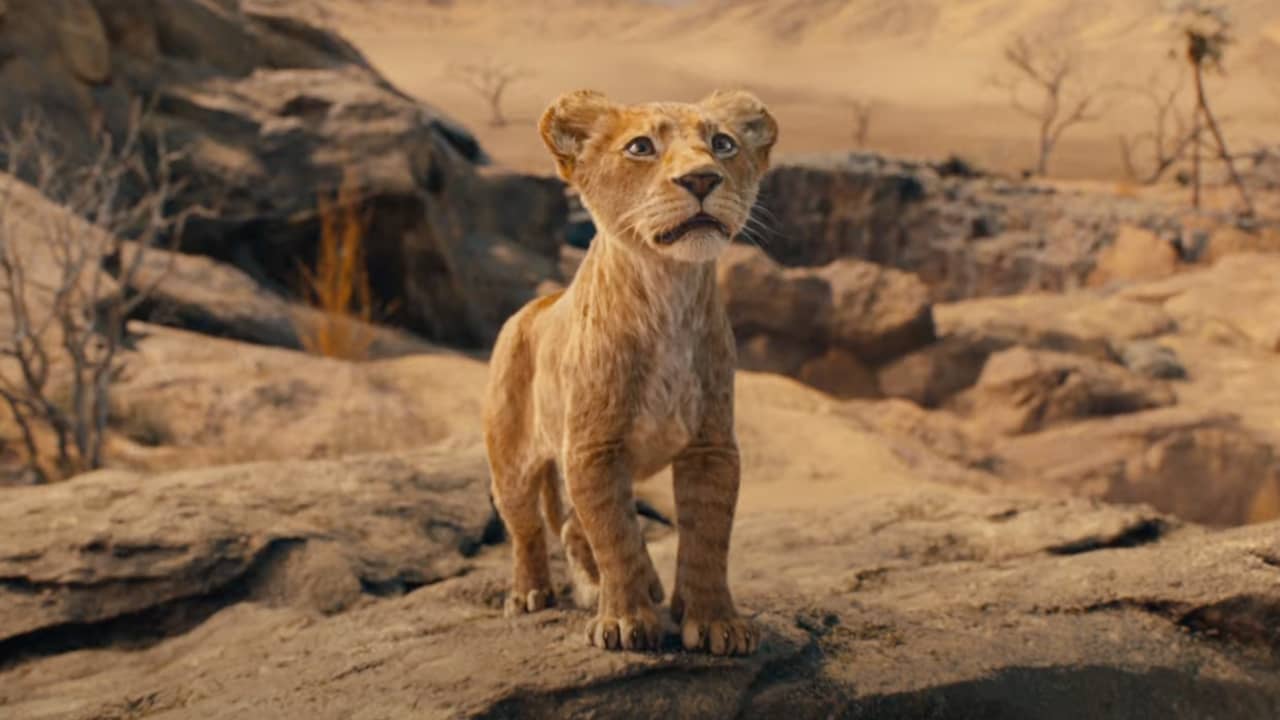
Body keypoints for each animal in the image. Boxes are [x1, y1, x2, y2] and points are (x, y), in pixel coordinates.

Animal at [483, 89, 778, 656]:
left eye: (722, 143)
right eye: (641, 147)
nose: (701, 179)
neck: (668, 291)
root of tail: (533, 305)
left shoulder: (711, 446)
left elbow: (708, 536)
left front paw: (715, 621)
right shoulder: (593, 449)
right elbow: (614, 534)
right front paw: (623, 621)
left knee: (574, 527)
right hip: (512, 461)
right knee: (530, 528)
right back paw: (530, 593)